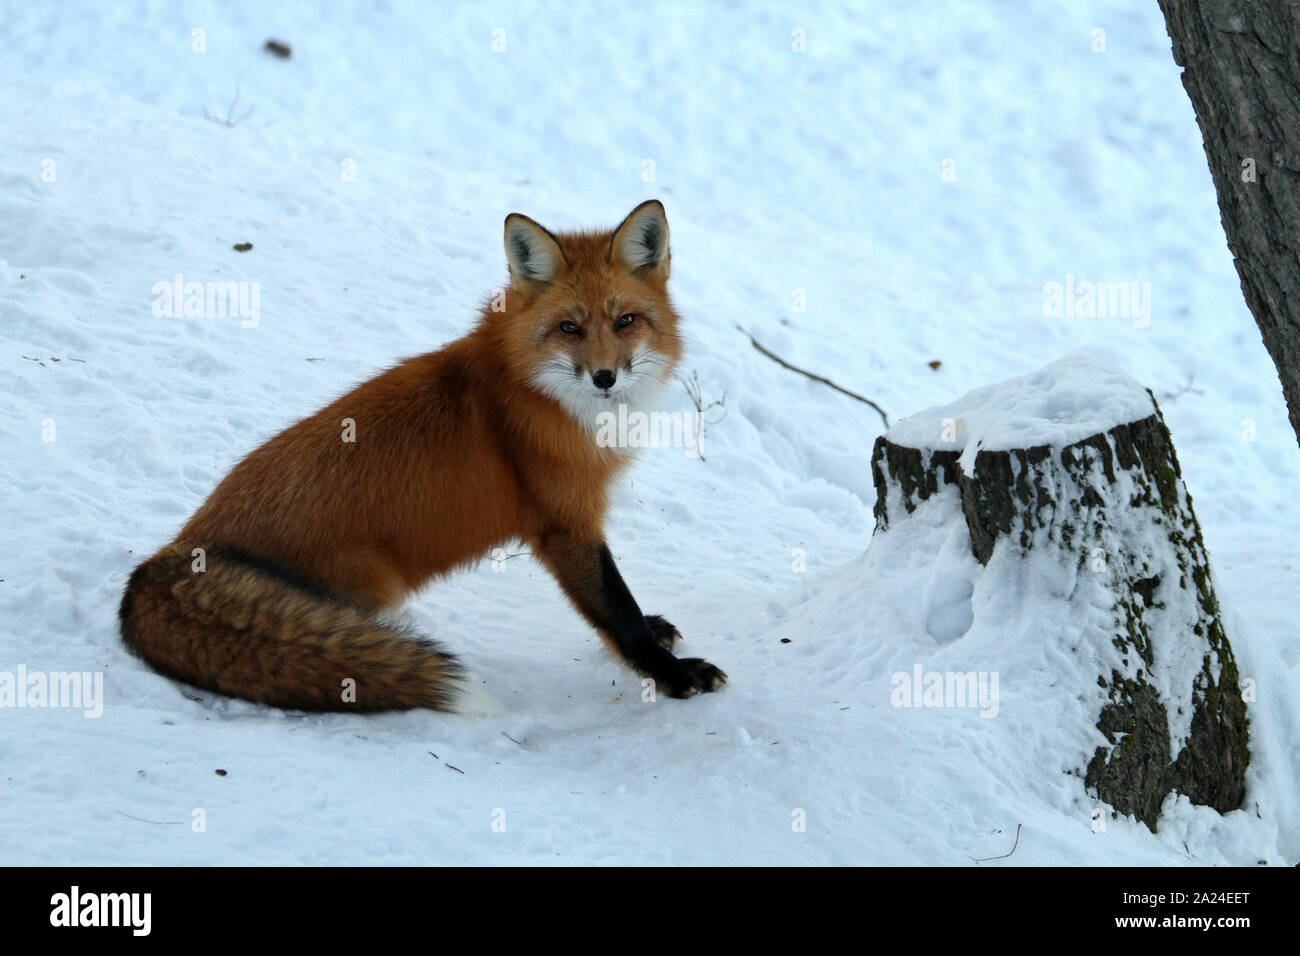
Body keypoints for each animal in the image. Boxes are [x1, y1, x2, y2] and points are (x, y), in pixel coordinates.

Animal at [118, 200, 727, 712]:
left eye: (625, 321)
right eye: (569, 328)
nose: (604, 377)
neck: (537, 391)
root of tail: (171, 552)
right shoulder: (565, 522)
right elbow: (613, 607)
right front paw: (668, 672)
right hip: (368, 583)